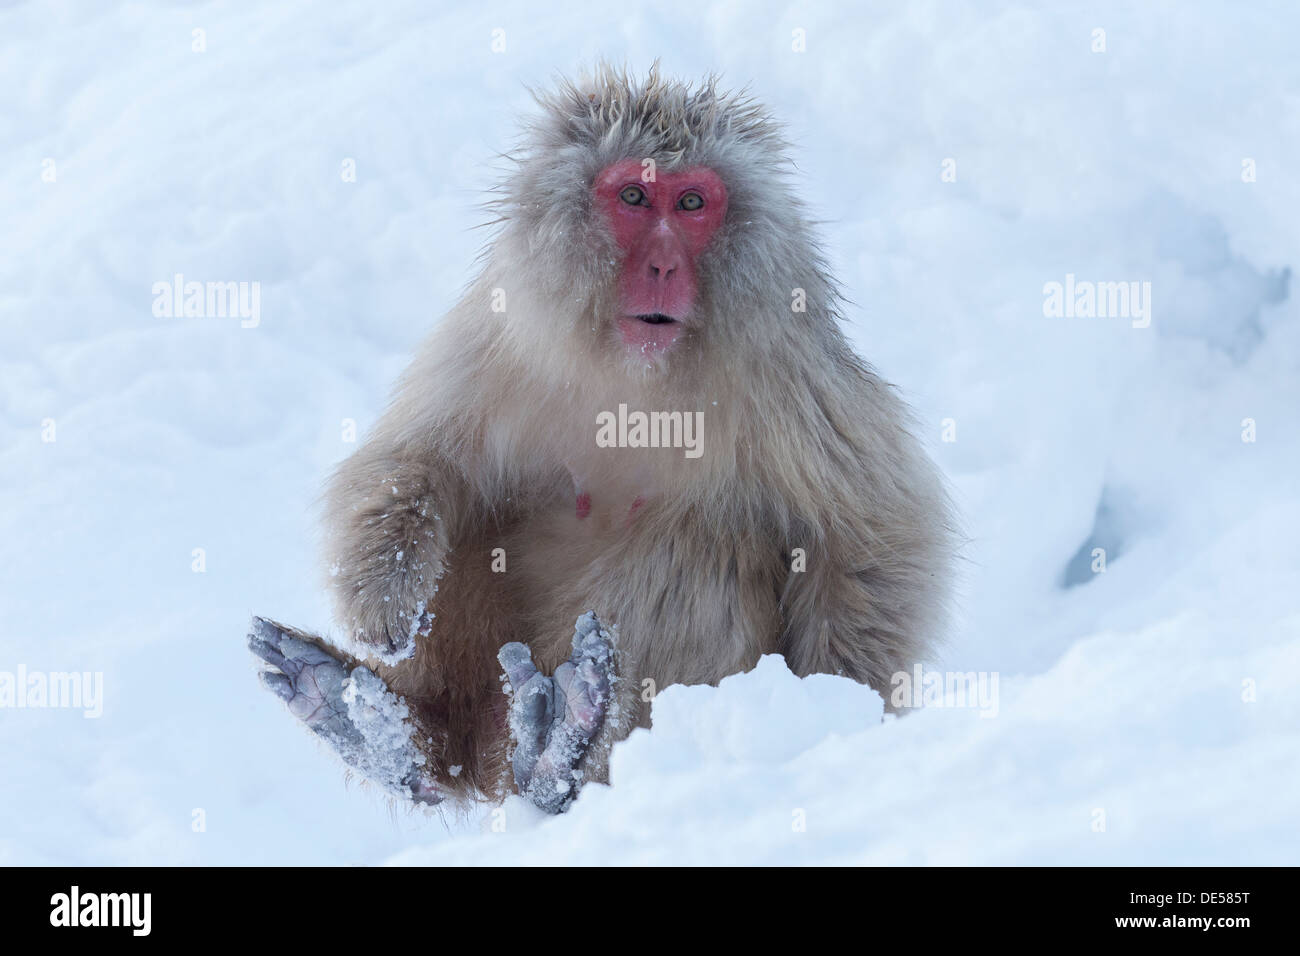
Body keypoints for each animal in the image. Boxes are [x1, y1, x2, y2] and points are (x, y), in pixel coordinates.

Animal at [249, 64, 955, 814]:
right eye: (636, 197)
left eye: (693, 203)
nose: (665, 265)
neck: (634, 374)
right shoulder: (501, 334)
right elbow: (418, 461)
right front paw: (383, 593)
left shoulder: (787, 368)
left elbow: (869, 536)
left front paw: (841, 705)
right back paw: (391, 731)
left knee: (705, 539)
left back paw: (558, 755)